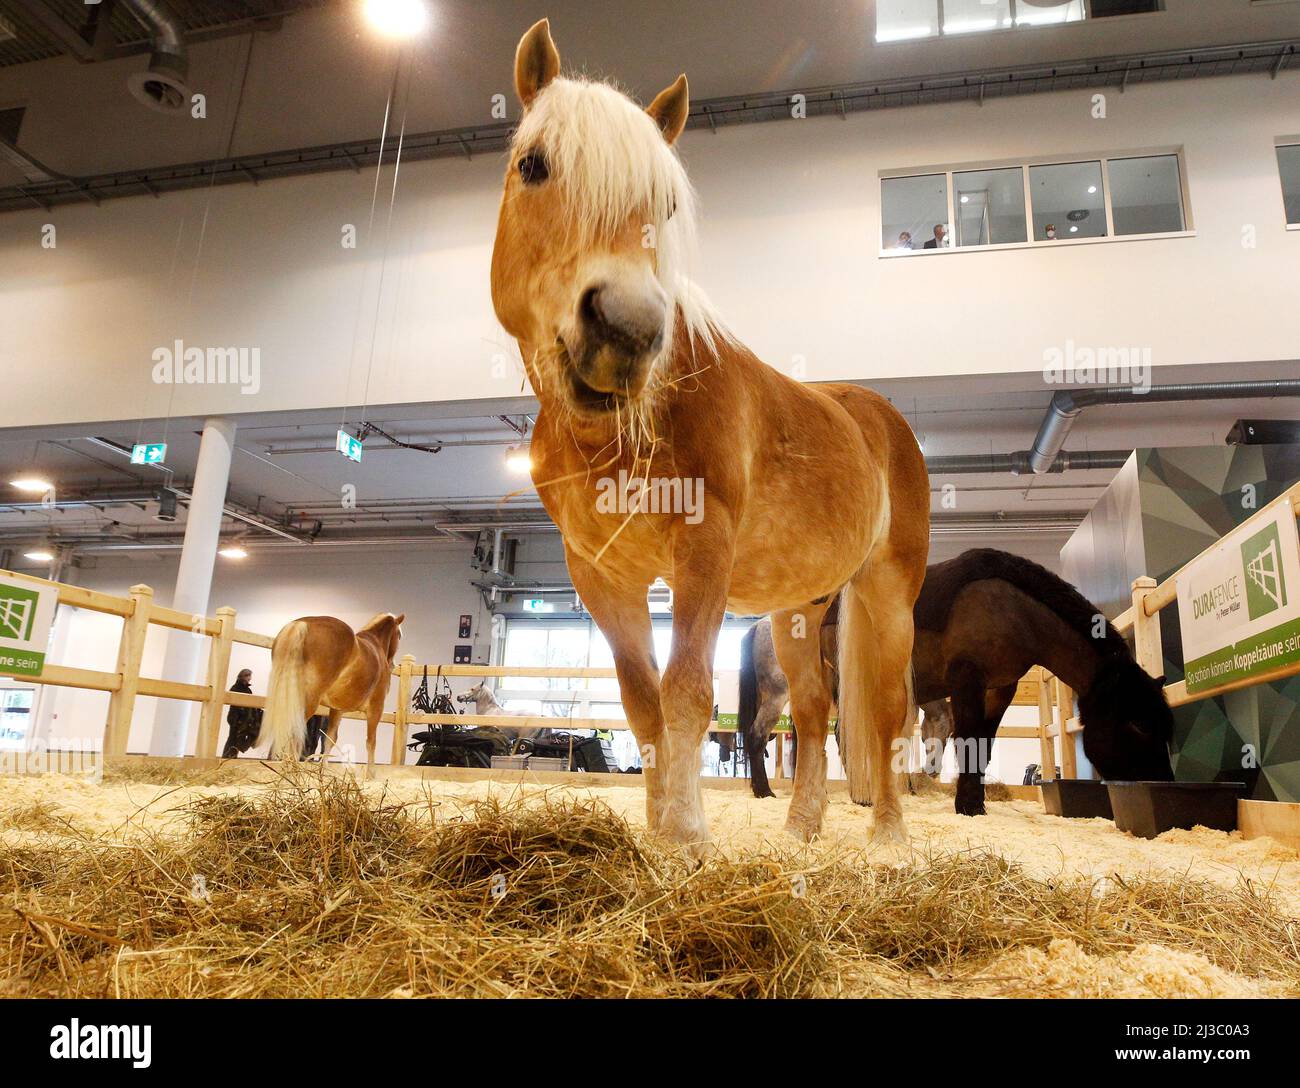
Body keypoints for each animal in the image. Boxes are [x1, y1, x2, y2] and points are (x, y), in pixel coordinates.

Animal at [259, 612, 404, 774]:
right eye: (399, 635)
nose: (393, 665)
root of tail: (301, 624)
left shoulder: (337, 709)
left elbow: (330, 738)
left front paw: (324, 769)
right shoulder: (376, 708)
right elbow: (371, 742)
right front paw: (371, 774)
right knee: (295, 733)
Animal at [490, 20, 929, 849]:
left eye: (664, 205)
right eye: (533, 164)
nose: (626, 331)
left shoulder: (705, 550)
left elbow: (688, 693)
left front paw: (688, 835)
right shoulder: (602, 574)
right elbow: (642, 704)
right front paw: (658, 830)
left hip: (888, 590)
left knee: (887, 713)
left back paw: (888, 834)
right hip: (799, 608)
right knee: (814, 711)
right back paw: (801, 828)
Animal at [737, 548, 1174, 814]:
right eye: (1137, 725)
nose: (1163, 782)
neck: (1013, 610)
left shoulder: (1000, 688)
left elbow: (983, 743)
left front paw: (973, 802)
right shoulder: (967, 680)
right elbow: (968, 739)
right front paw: (968, 804)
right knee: (766, 735)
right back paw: (770, 791)